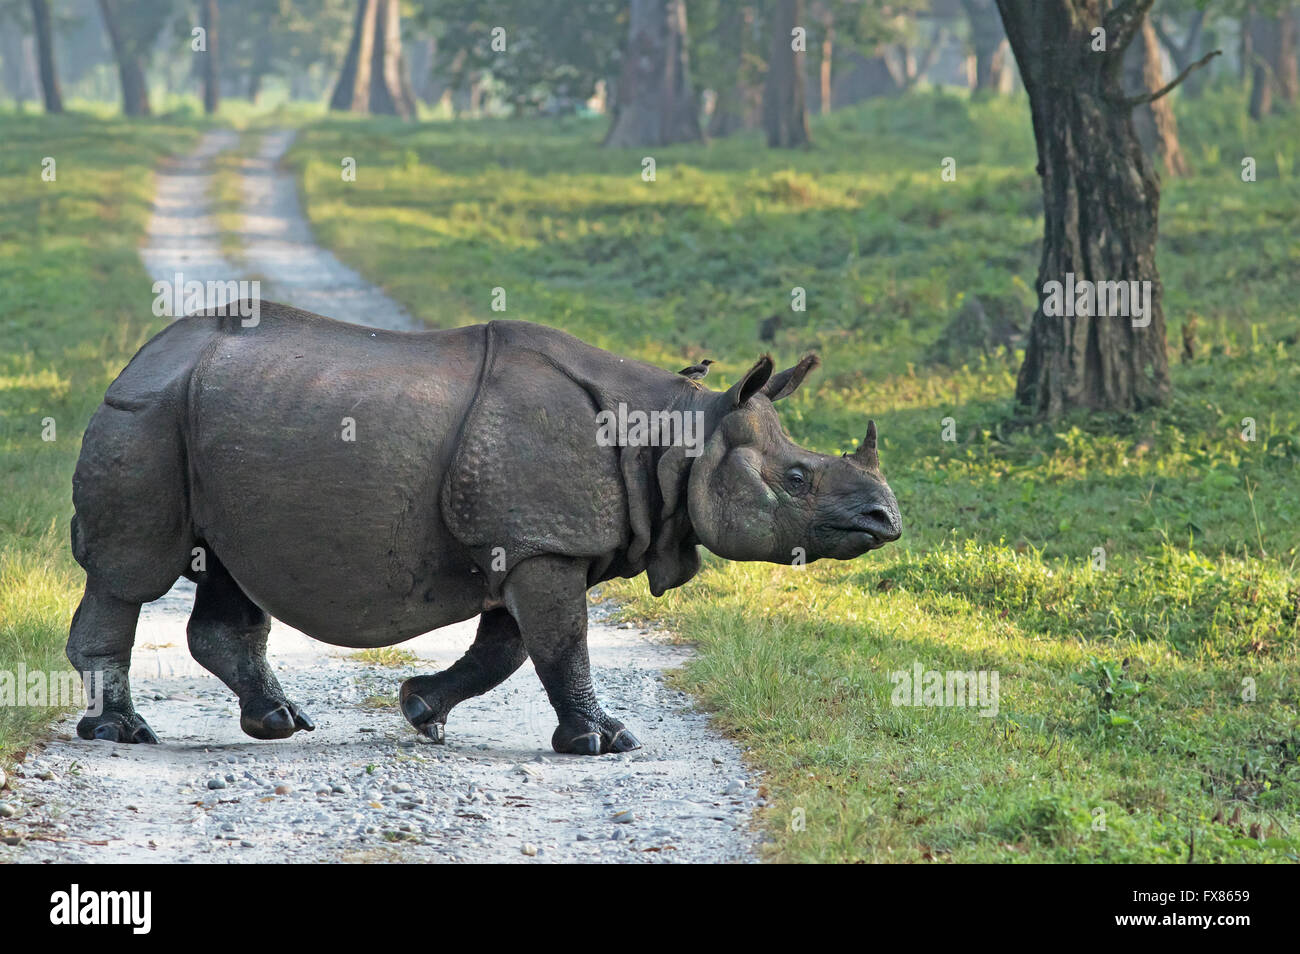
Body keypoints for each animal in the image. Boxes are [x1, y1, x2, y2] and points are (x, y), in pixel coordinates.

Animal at [68, 302, 902, 755]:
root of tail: (143, 355)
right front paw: (603, 743)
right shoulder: (543, 543)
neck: (675, 437)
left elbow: (508, 648)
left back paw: (279, 722)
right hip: (148, 415)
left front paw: (420, 711)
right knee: (131, 574)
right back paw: (123, 734)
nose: (887, 520)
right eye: (796, 479)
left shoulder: (526, 541)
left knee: (230, 567)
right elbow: (562, 643)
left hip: (214, 420)